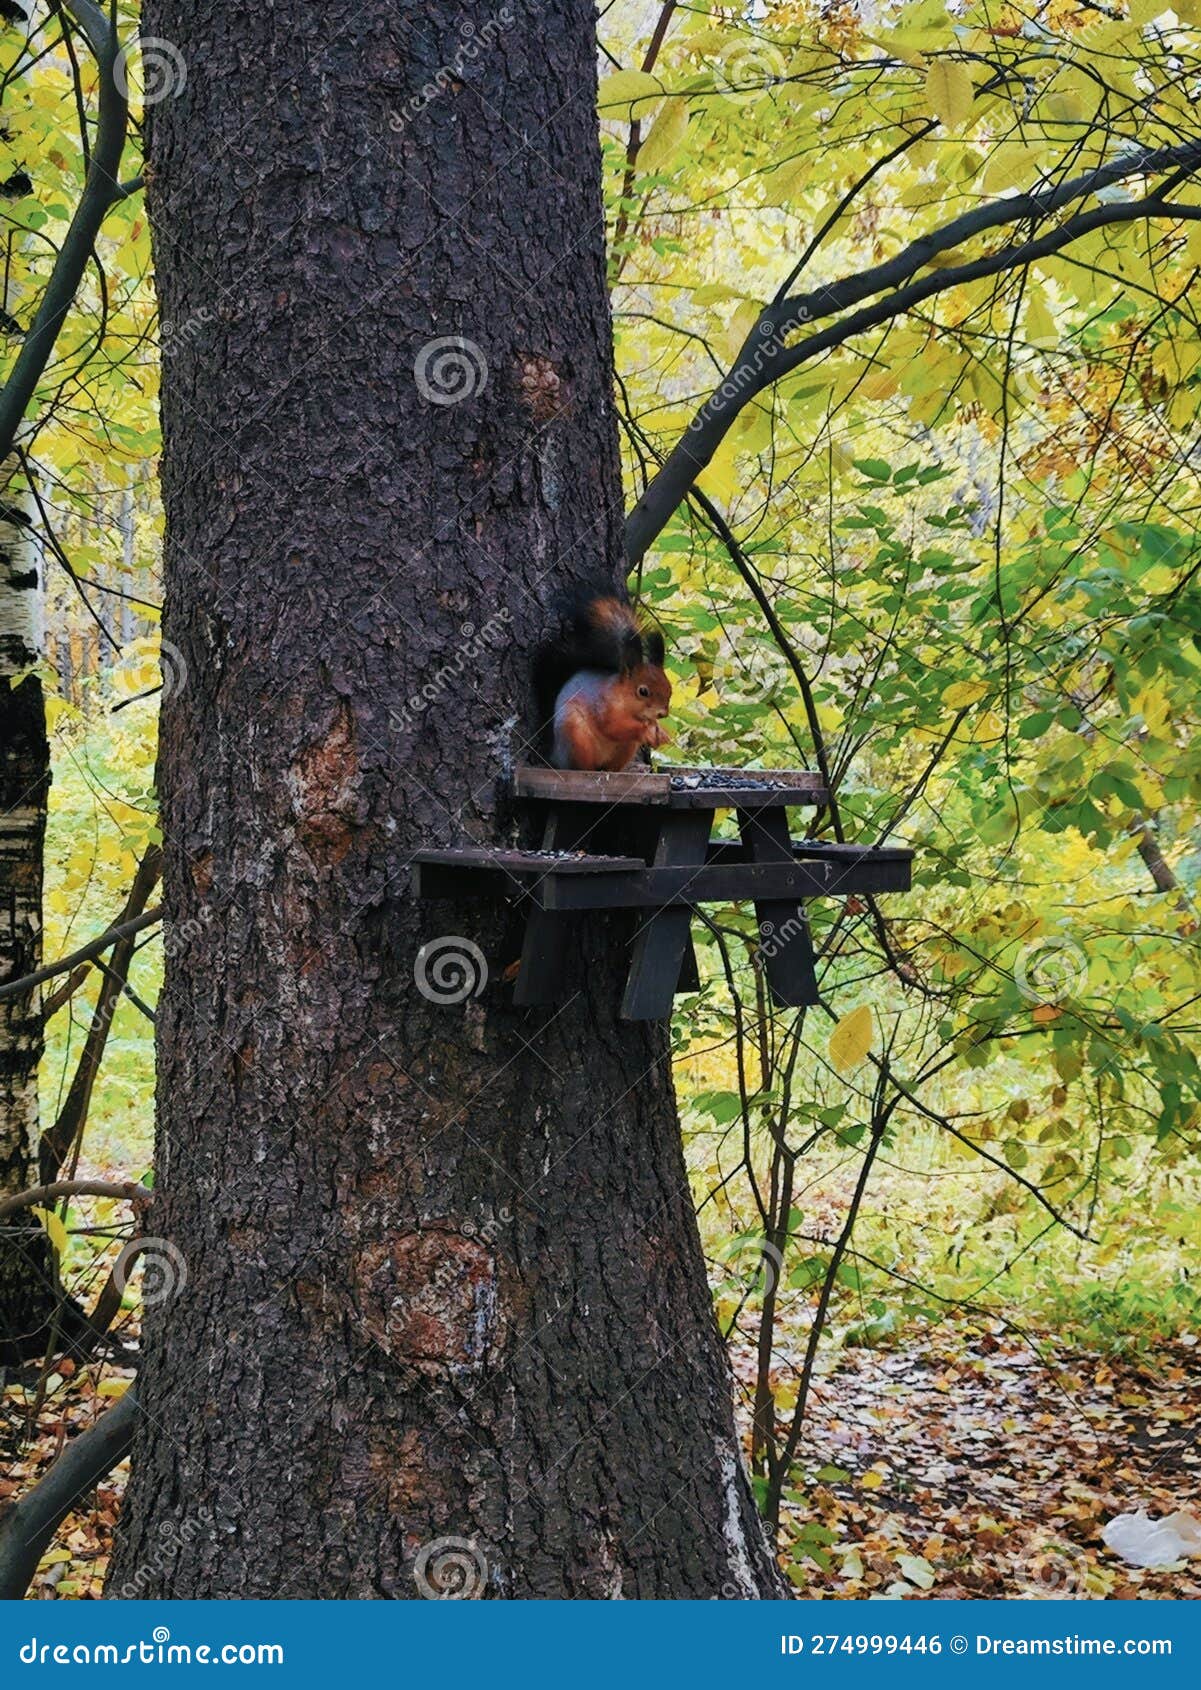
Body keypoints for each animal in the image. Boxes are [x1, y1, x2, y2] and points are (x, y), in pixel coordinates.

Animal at [532, 591, 672, 771]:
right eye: (643, 691)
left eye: (670, 690)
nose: (663, 713)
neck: (624, 700)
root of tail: (557, 755)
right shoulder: (603, 705)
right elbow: (613, 727)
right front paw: (646, 730)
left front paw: (661, 733)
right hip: (575, 733)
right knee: (581, 766)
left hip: (626, 748)